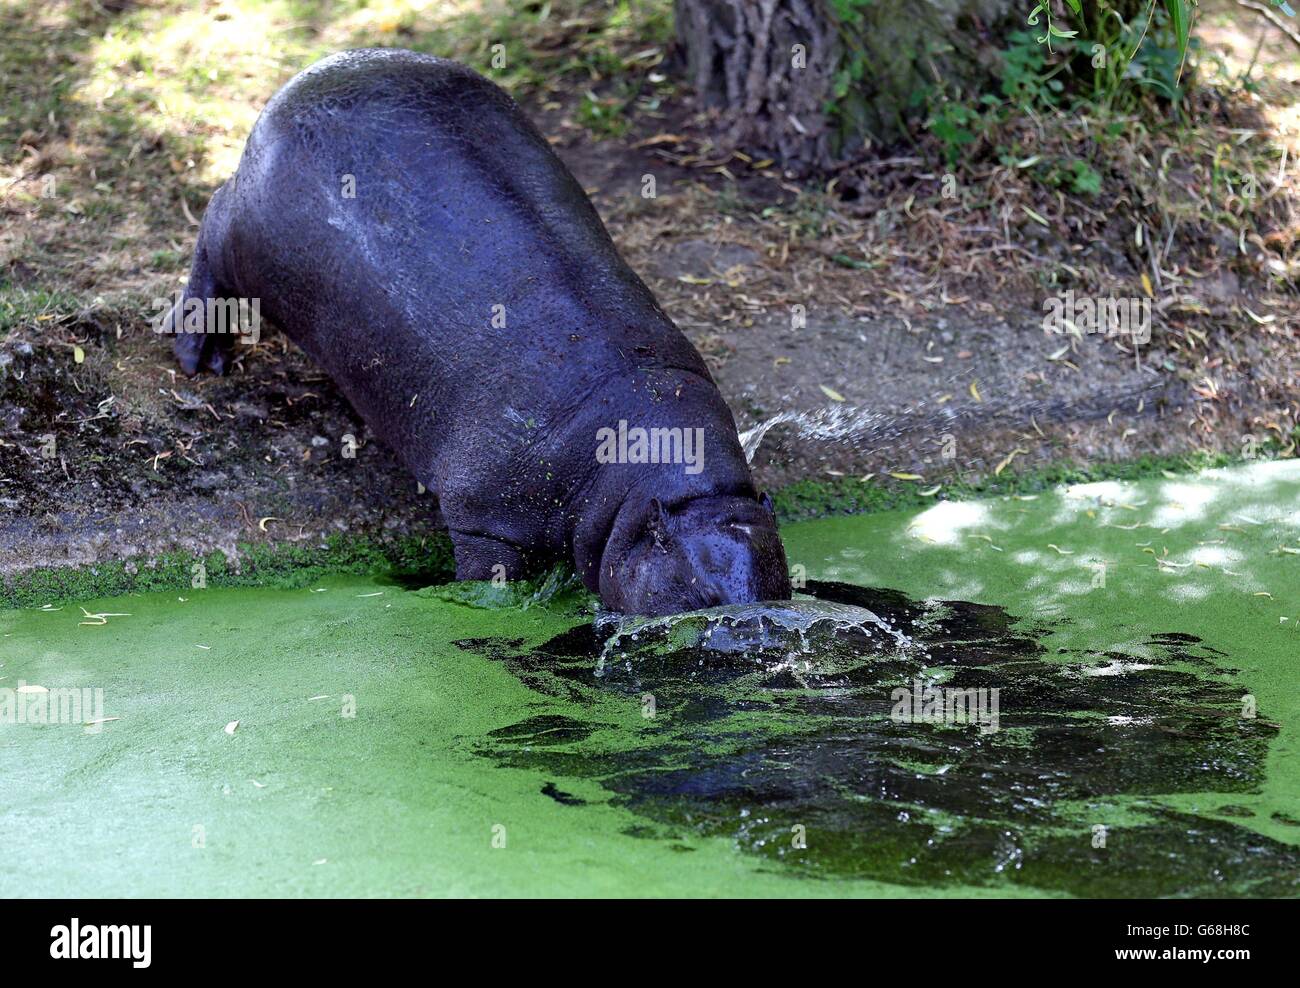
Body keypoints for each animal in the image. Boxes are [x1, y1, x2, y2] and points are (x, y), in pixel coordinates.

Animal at [160, 48, 791, 616]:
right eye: (701, 598)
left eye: (781, 590)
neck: (645, 490)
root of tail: (305, 77)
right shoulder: (484, 521)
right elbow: (489, 578)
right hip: (245, 241)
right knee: (211, 224)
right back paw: (202, 354)